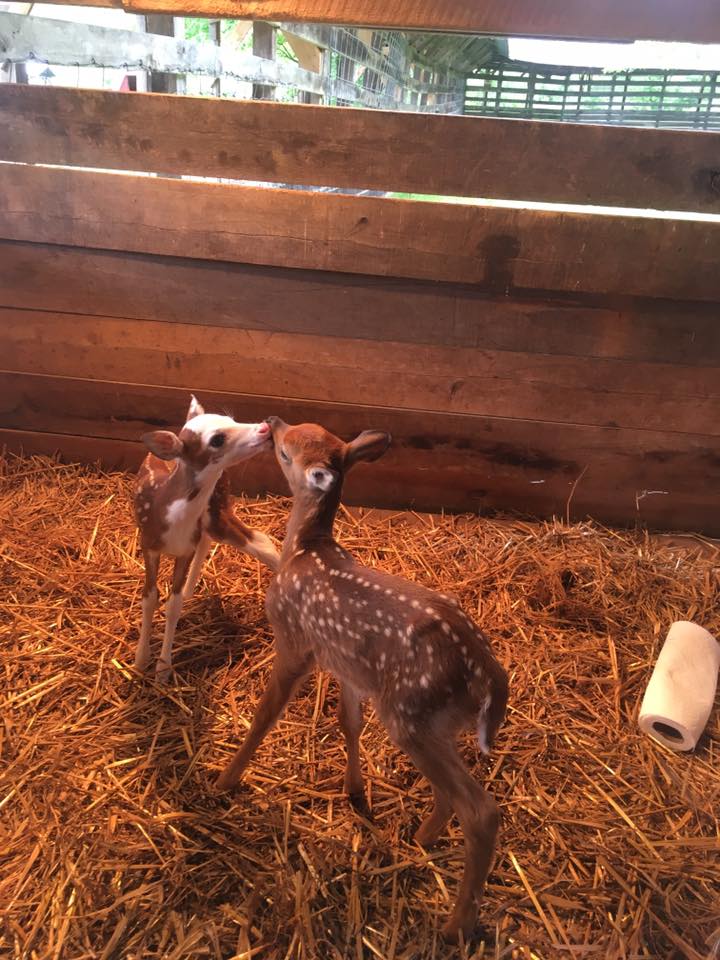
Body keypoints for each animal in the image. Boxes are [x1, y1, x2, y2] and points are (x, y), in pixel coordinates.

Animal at [133, 395, 280, 682]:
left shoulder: (186, 549)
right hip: (212, 517)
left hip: (218, 511)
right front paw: (141, 661)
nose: (265, 428)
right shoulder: (148, 544)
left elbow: (173, 604)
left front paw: (163, 669)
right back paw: (192, 590)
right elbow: (150, 597)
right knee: (223, 541)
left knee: (263, 542)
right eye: (217, 439)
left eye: (231, 418)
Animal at [215, 417, 509, 941]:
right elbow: (347, 722)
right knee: (451, 794)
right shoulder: (347, 666)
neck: (304, 550)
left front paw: (225, 779)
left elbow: (266, 715)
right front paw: (354, 790)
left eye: (287, 452)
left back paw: (455, 926)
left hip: (410, 714)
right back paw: (420, 837)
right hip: (439, 724)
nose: (275, 424)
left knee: (481, 810)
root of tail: (490, 679)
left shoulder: (294, 641)